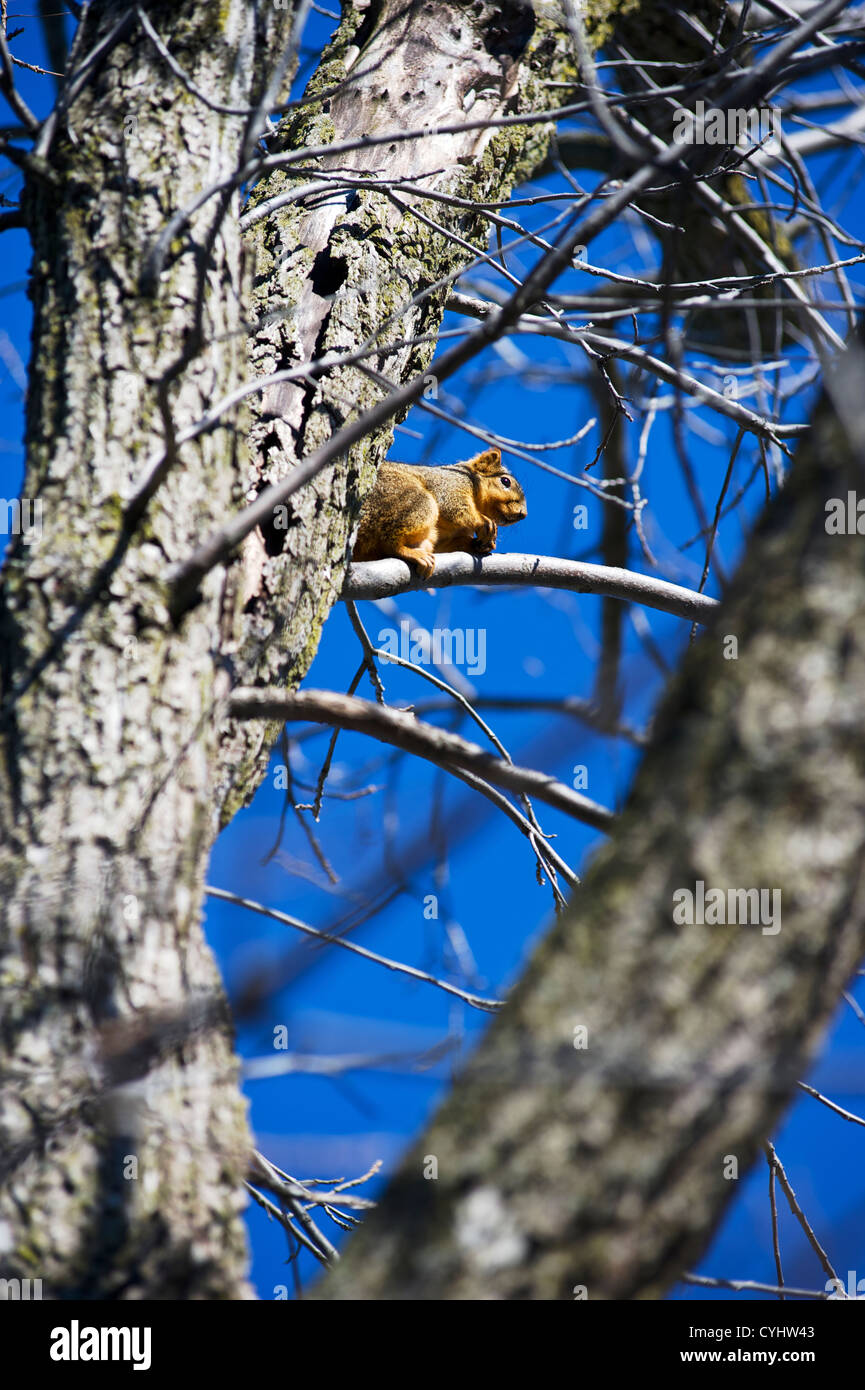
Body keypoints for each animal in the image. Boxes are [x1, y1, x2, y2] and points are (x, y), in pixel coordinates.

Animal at [352, 447, 527, 580]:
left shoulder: (446, 538)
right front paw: (484, 521)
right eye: (505, 481)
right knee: (389, 542)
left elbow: (446, 546)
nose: (523, 514)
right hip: (412, 500)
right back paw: (408, 552)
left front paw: (481, 544)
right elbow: (454, 507)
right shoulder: (450, 484)